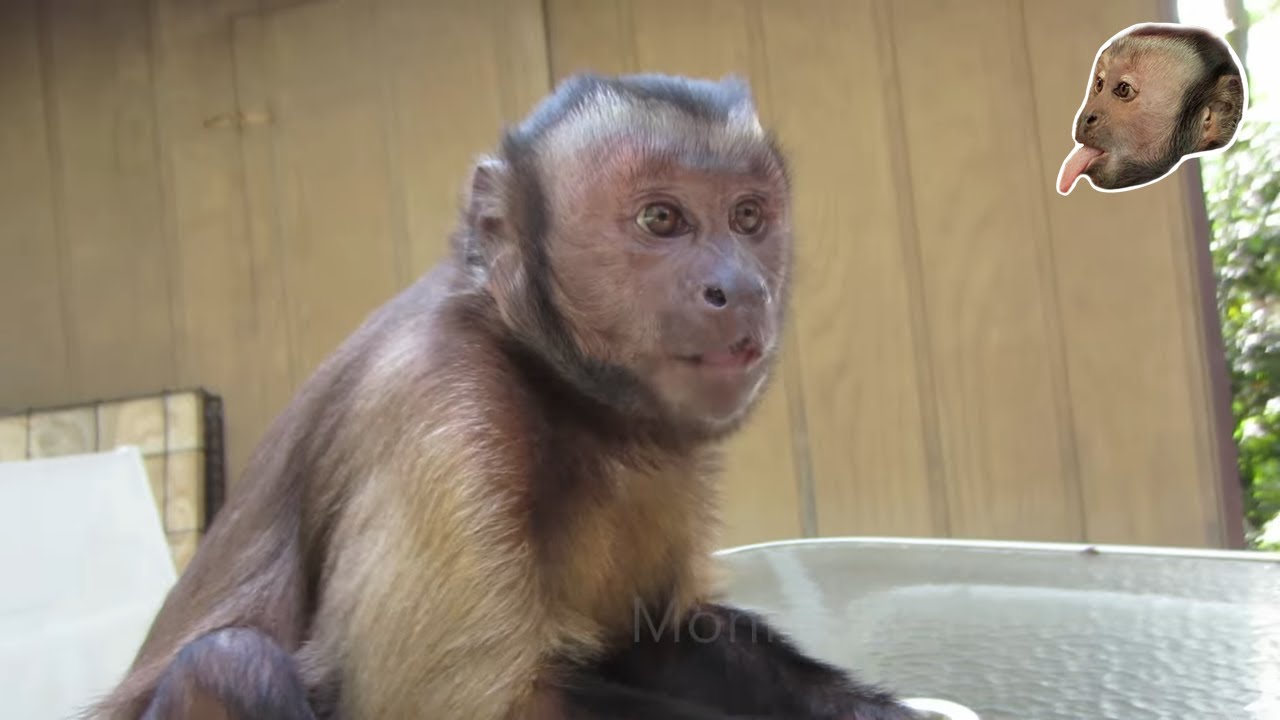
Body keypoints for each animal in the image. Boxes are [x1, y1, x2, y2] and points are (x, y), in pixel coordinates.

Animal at [88, 73, 920, 720]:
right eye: (662, 220)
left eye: (748, 219)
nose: (740, 287)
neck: (550, 383)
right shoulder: (444, 408)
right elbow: (463, 705)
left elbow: (655, 640)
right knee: (230, 663)